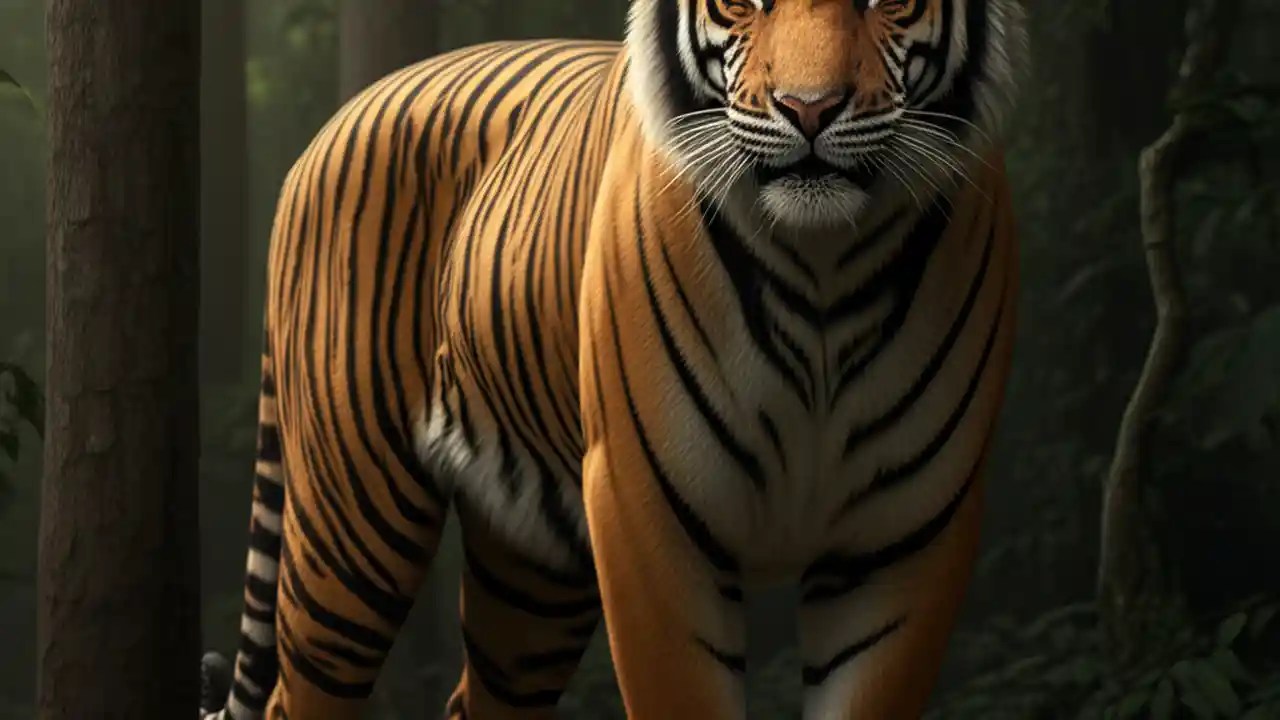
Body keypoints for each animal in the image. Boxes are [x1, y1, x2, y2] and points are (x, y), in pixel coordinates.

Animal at [199, 0, 1028, 718]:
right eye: (744, 3)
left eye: (888, 1)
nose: (810, 109)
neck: (820, 259)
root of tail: (334, 123)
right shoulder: (647, 514)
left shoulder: (905, 539)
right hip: (353, 520)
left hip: (532, 573)